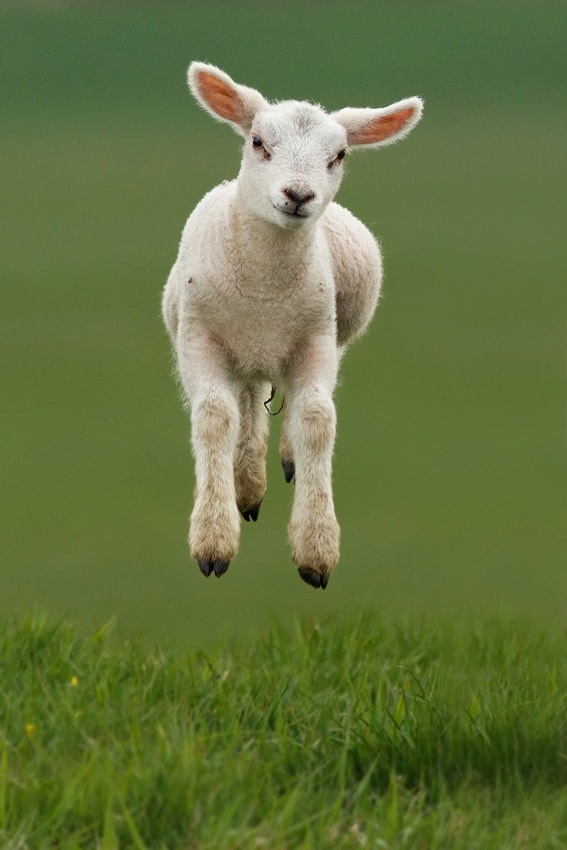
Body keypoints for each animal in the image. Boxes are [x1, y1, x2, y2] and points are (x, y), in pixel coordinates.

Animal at [162, 62, 423, 589]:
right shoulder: (200, 338)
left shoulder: (315, 338)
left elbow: (317, 420)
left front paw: (316, 549)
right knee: (244, 403)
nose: (299, 195)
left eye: (339, 155)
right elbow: (215, 417)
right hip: (237, 351)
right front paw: (213, 542)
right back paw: (246, 486)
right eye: (258, 141)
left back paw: (278, 464)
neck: (264, 294)